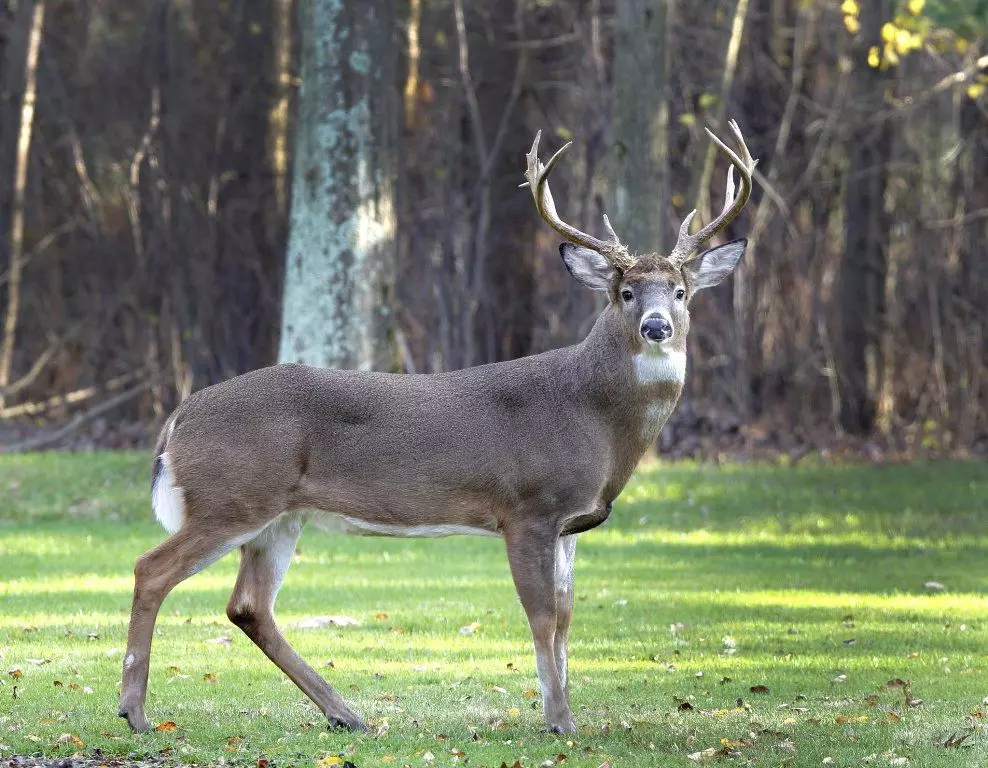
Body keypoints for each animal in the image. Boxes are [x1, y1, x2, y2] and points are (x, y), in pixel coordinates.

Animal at [121, 118, 756, 732]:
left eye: (681, 291)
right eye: (625, 292)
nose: (656, 326)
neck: (594, 419)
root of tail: (177, 419)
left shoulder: (570, 524)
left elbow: (567, 617)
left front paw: (567, 712)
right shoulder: (526, 508)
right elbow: (542, 616)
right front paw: (558, 721)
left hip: (280, 516)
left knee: (249, 606)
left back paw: (346, 714)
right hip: (233, 496)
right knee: (151, 568)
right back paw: (136, 712)